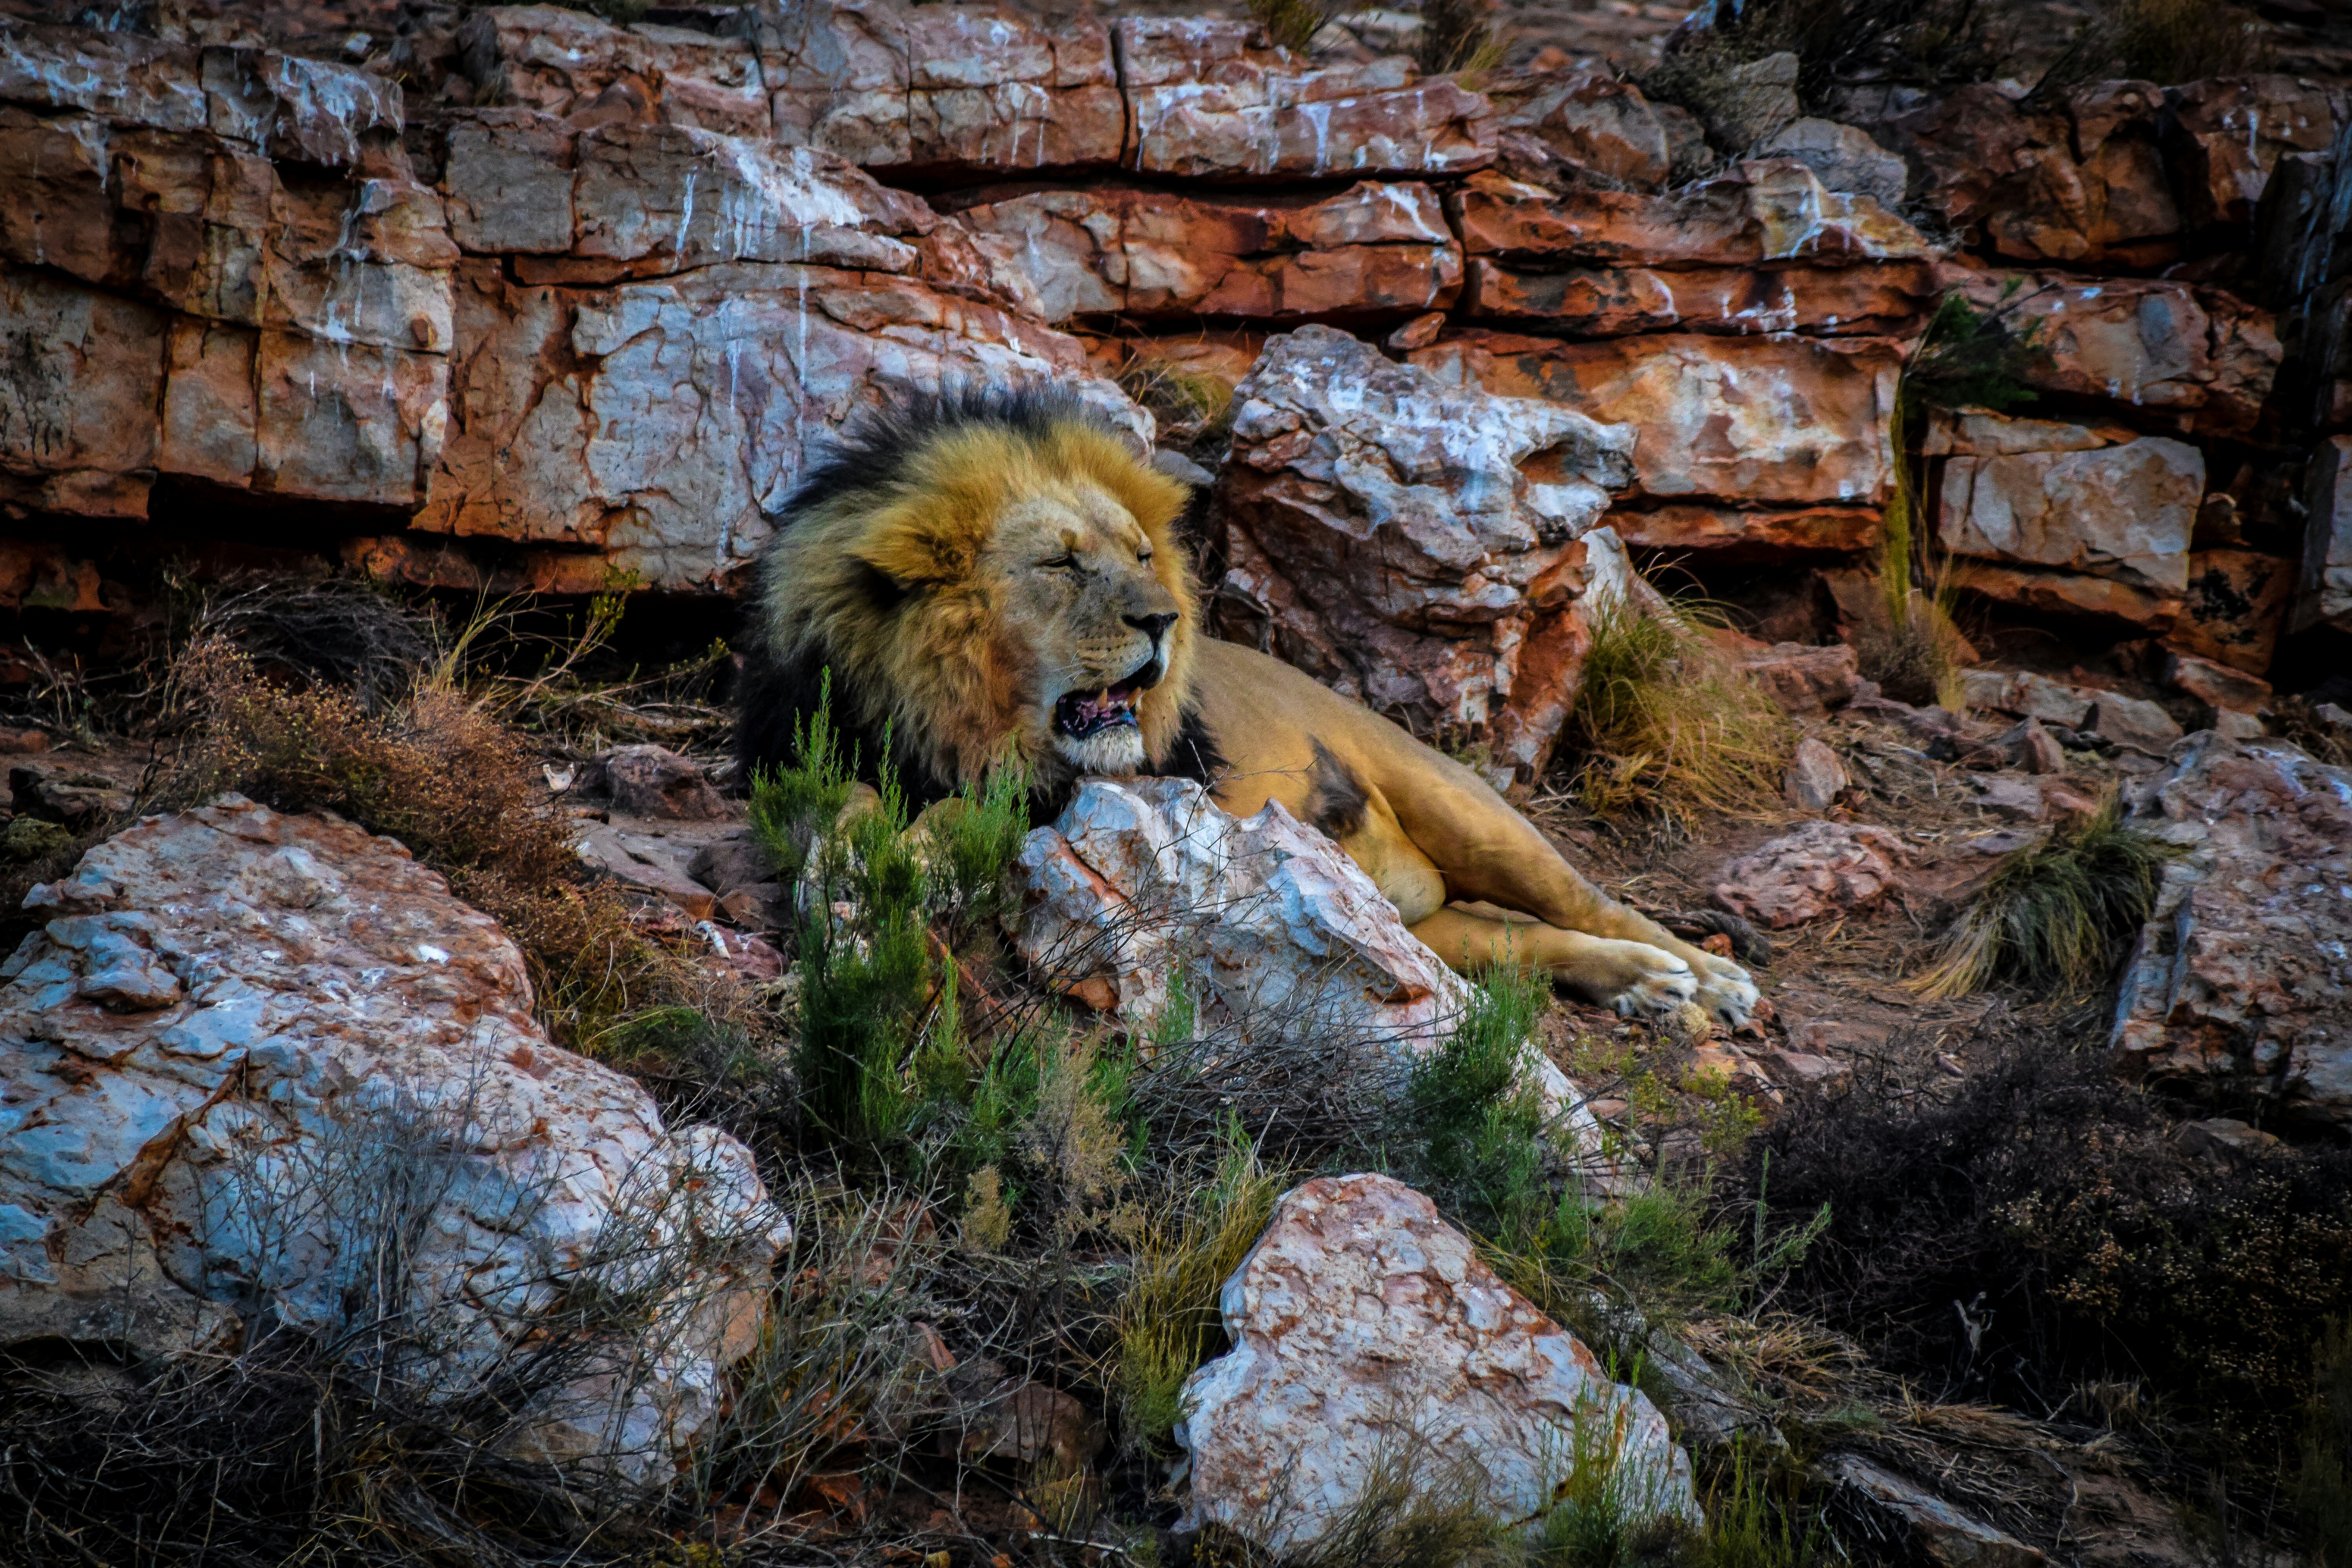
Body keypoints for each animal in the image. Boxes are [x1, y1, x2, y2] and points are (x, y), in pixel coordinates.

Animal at [736, 392, 1758, 1025]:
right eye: (1062, 562)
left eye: (1142, 555)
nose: (1162, 618)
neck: (940, 716)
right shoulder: (815, 756)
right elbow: (846, 812)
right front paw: (851, 878)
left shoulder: (1116, 789)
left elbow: (960, 815)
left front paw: (911, 860)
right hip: (1417, 926)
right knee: (1518, 940)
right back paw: (1644, 988)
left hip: (1466, 807)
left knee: (1593, 901)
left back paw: (1701, 978)